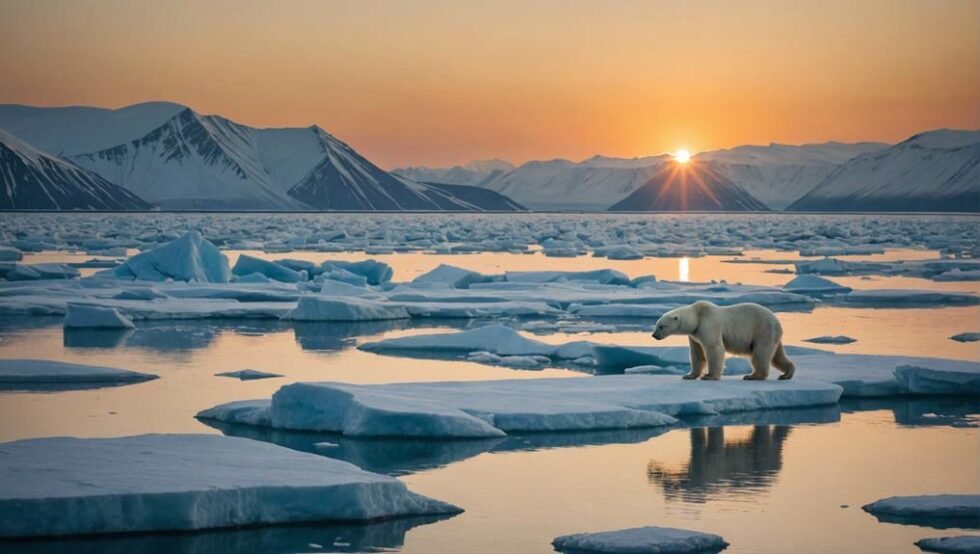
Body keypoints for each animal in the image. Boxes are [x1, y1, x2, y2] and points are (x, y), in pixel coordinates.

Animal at [651, 300, 795, 381]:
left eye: (661, 326)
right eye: (656, 325)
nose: (654, 335)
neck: (697, 316)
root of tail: (777, 322)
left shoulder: (708, 325)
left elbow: (714, 348)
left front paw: (709, 376)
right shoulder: (694, 334)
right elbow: (696, 353)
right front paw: (689, 376)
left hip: (763, 330)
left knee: (760, 354)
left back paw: (753, 376)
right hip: (772, 335)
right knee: (777, 356)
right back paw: (786, 374)